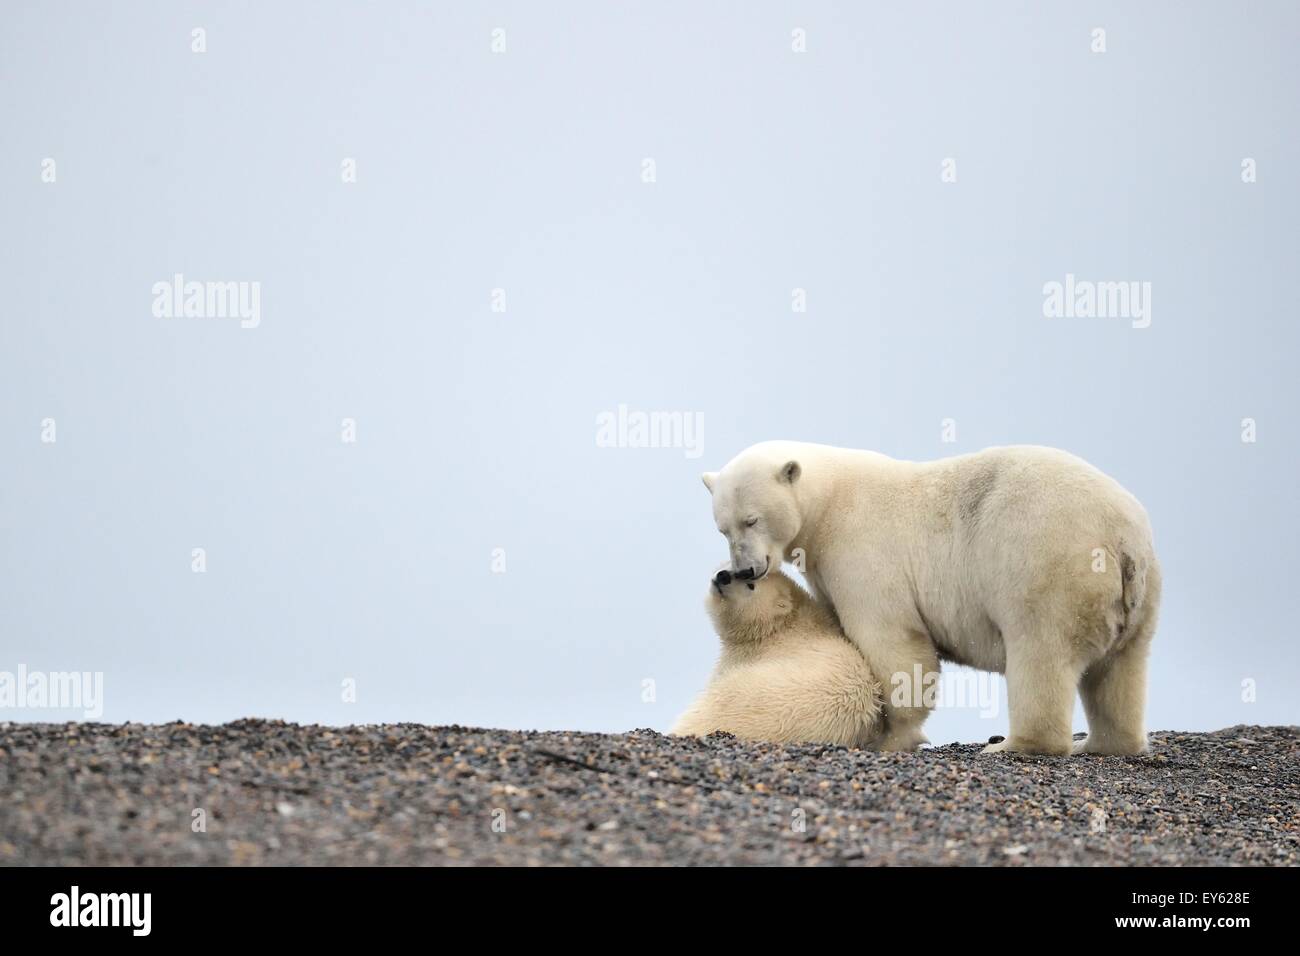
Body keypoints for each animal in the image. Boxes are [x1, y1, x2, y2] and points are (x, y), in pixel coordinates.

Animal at [701, 441, 1161, 756]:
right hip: (1139, 593)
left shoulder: (860, 548)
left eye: (752, 519)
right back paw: (1102, 743)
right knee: (1120, 669)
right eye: (723, 528)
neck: (830, 501)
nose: (745, 570)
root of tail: (1121, 539)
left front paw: (892, 738)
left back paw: (1012, 744)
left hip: (1046, 568)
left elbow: (894, 644)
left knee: (1039, 653)